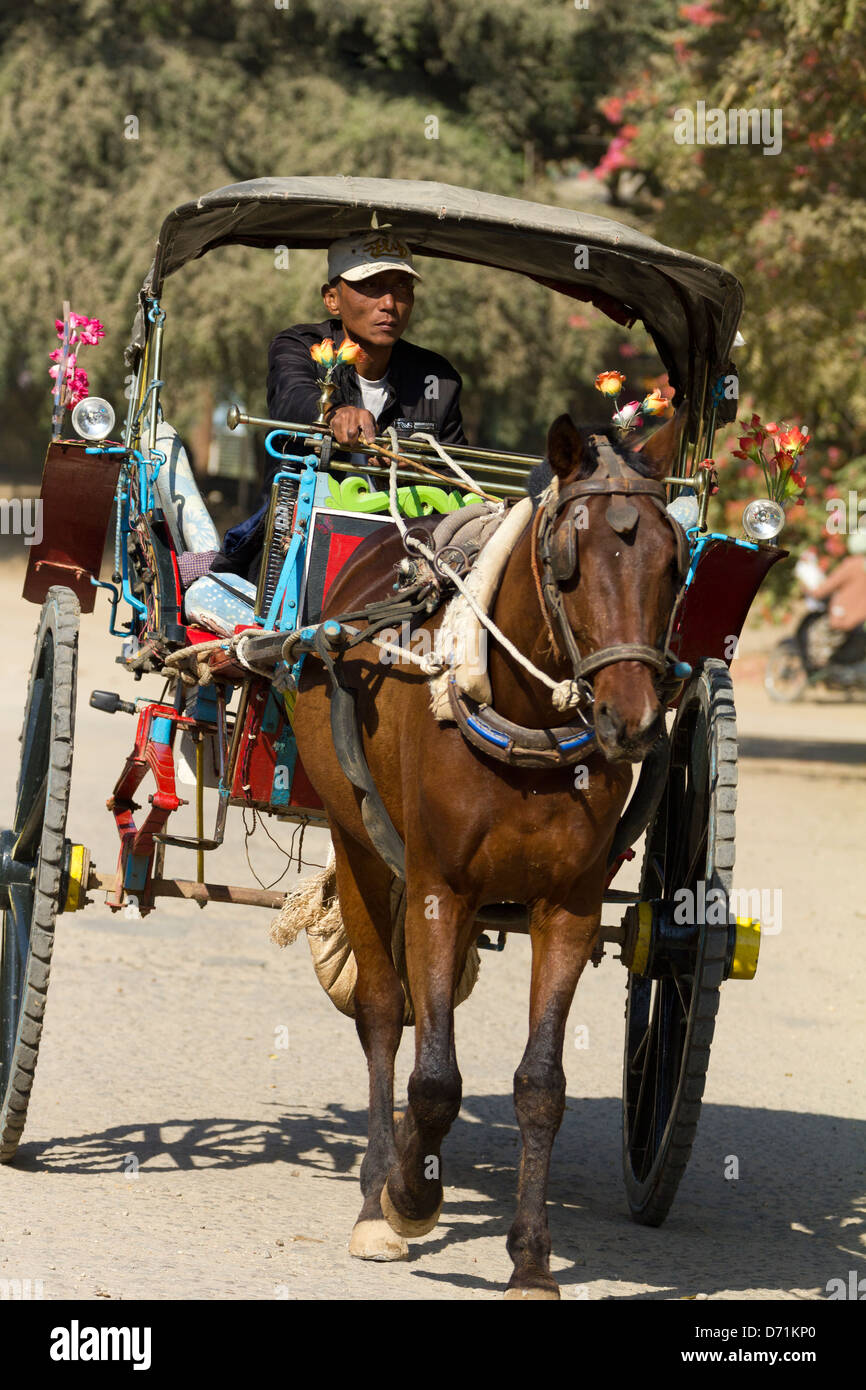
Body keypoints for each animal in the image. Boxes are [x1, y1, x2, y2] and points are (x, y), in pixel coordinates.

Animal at [290, 408, 685, 1298]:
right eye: (568, 563)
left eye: (675, 562)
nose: (634, 722)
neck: (526, 718)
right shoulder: (439, 887)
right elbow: (435, 1078)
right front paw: (407, 1197)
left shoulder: (569, 906)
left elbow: (541, 1085)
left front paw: (531, 1257)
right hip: (358, 839)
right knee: (382, 1013)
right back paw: (377, 1191)